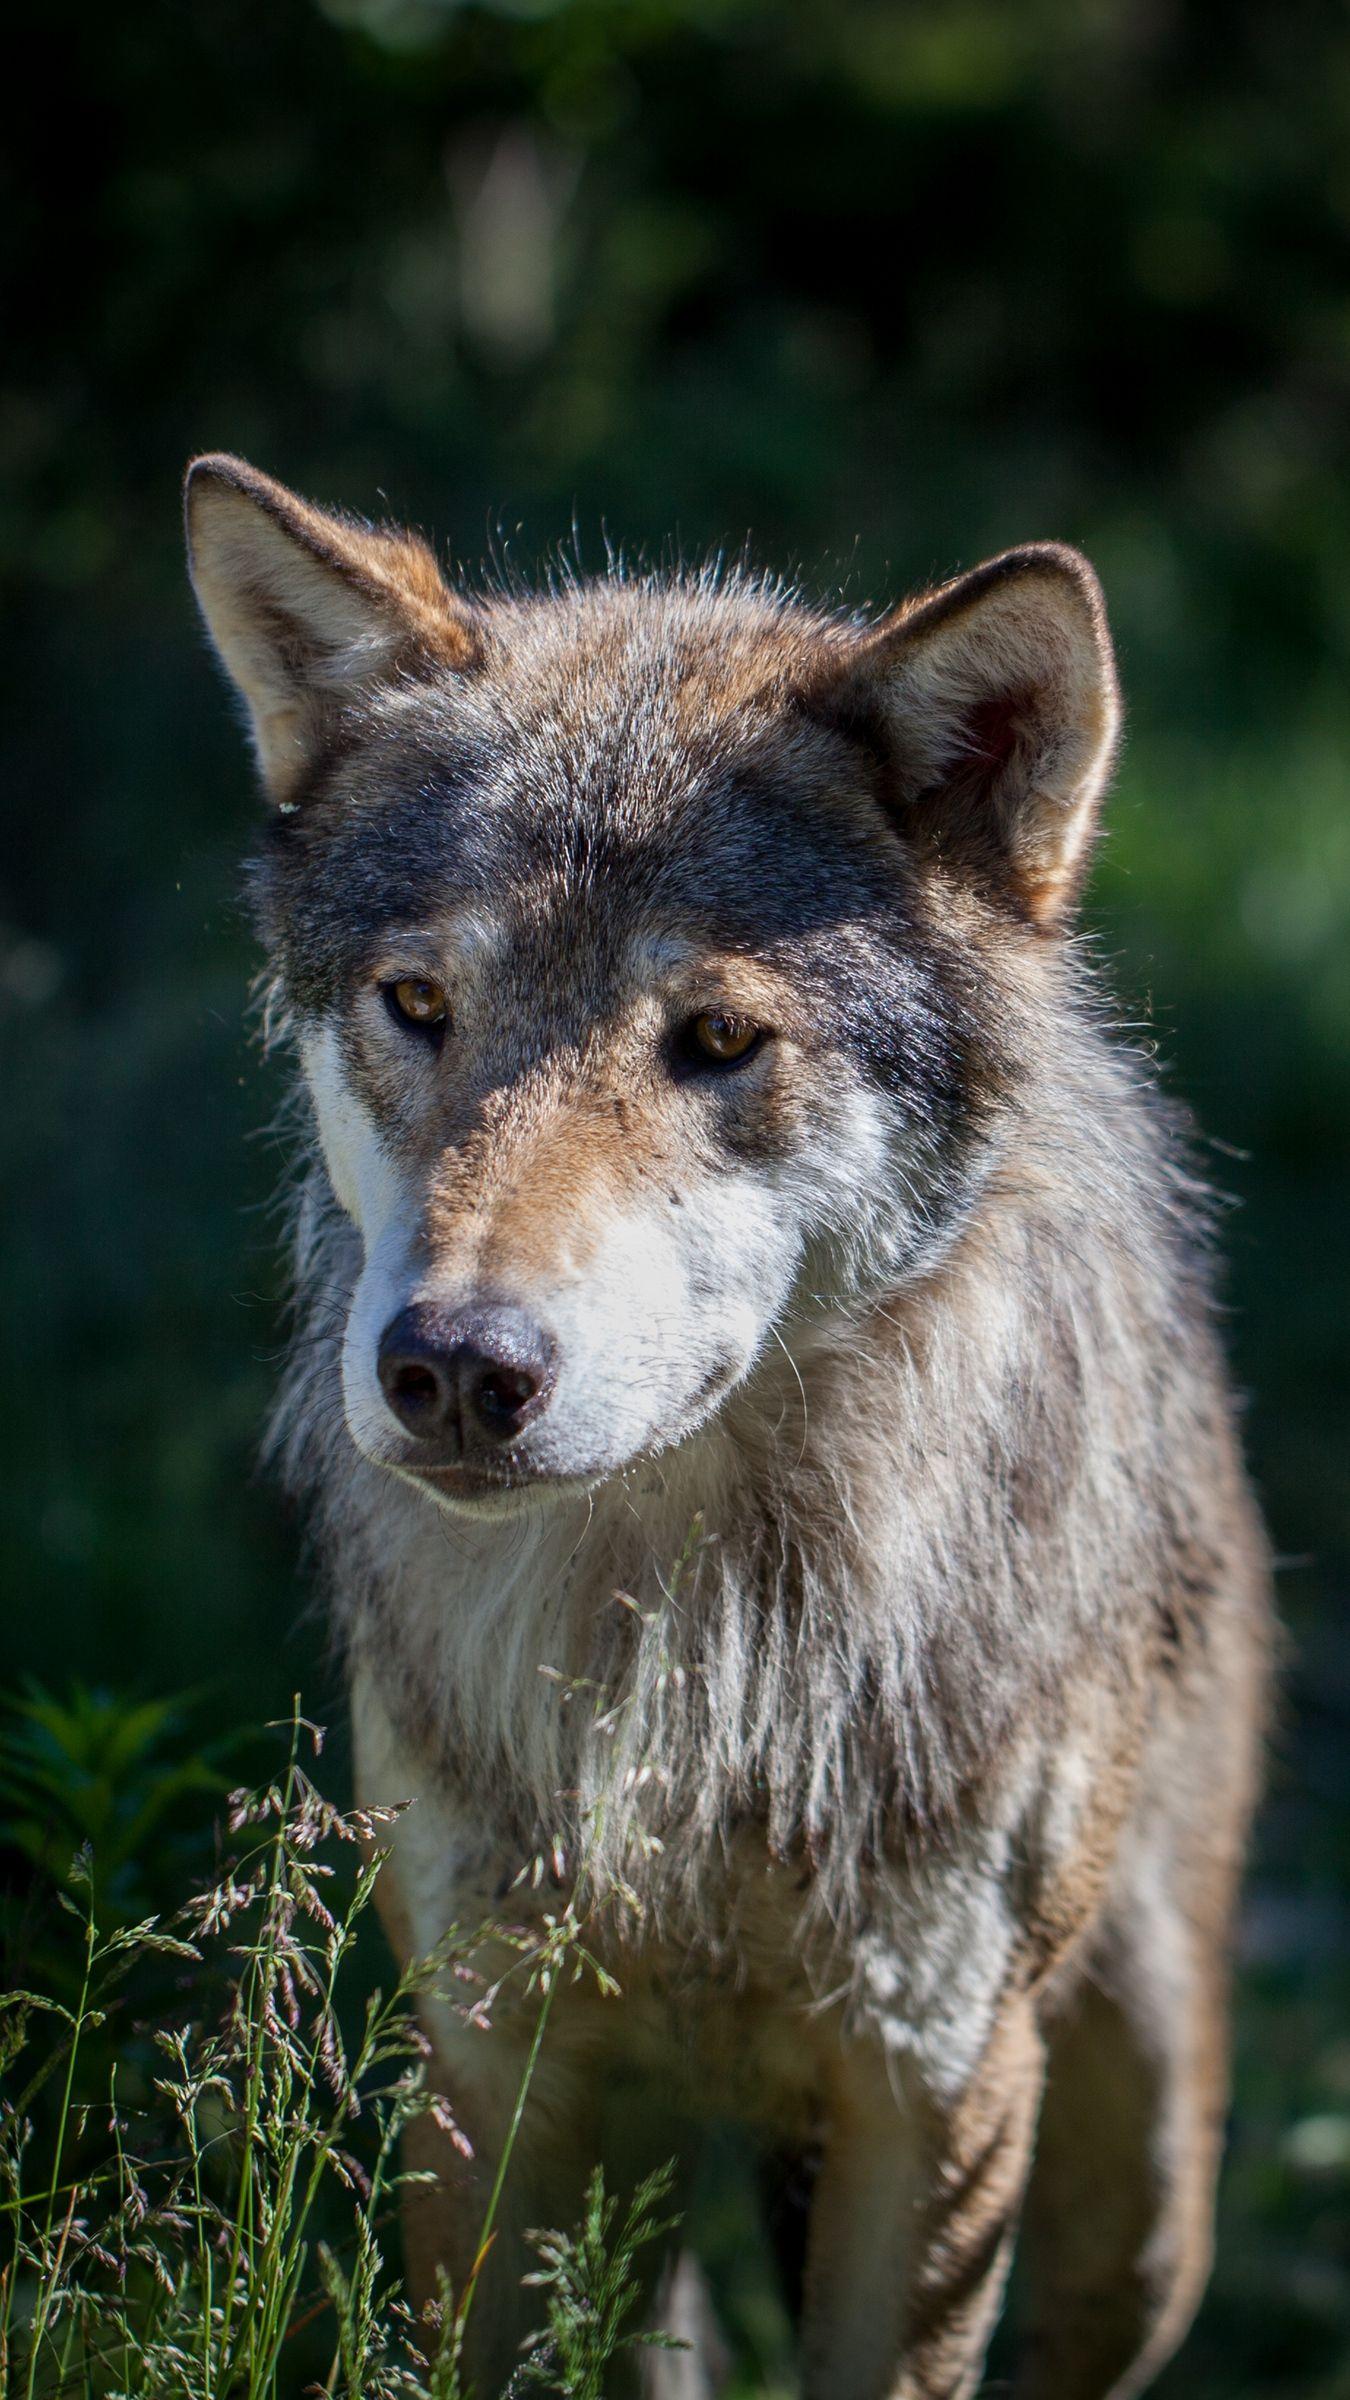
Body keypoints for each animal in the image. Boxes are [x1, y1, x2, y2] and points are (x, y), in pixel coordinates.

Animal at [186, 452, 1271, 2400]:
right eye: (418, 1005)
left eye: (712, 1039)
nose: (454, 1365)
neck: (698, 1661)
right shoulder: (496, 2071)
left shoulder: (936, 2084)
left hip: (1139, 2190)